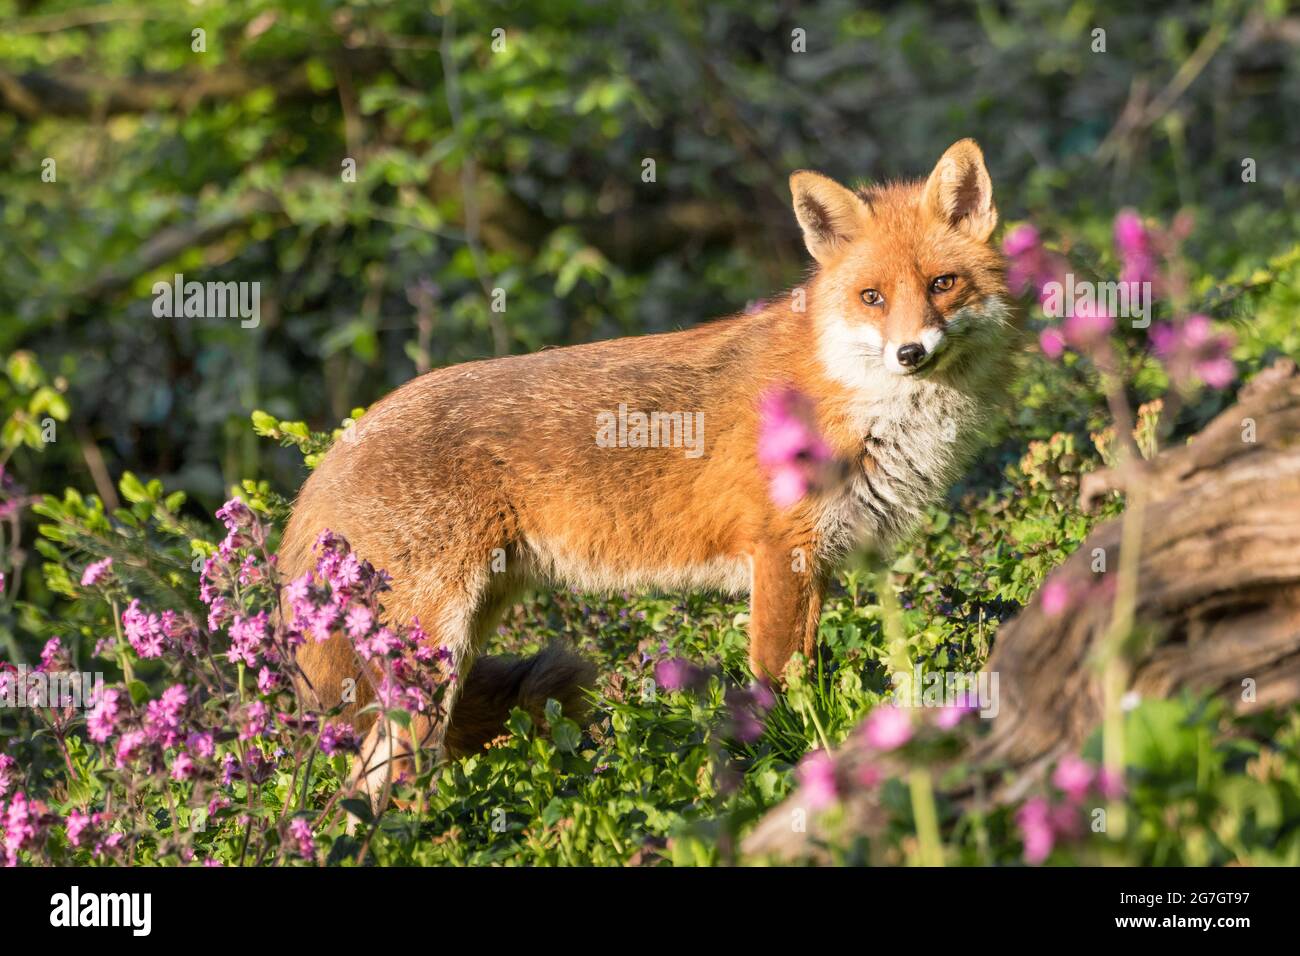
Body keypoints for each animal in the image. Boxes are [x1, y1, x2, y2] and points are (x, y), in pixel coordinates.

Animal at [279, 138, 1016, 808]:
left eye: (943, 284)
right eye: (871, 297)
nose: (910, 353)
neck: (856, 402)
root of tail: (328, 458)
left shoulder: (820, 560)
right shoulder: (781, 552)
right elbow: (780, 685)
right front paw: (789, 760)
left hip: (467, 630)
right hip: (430, 653)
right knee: (390, 776)